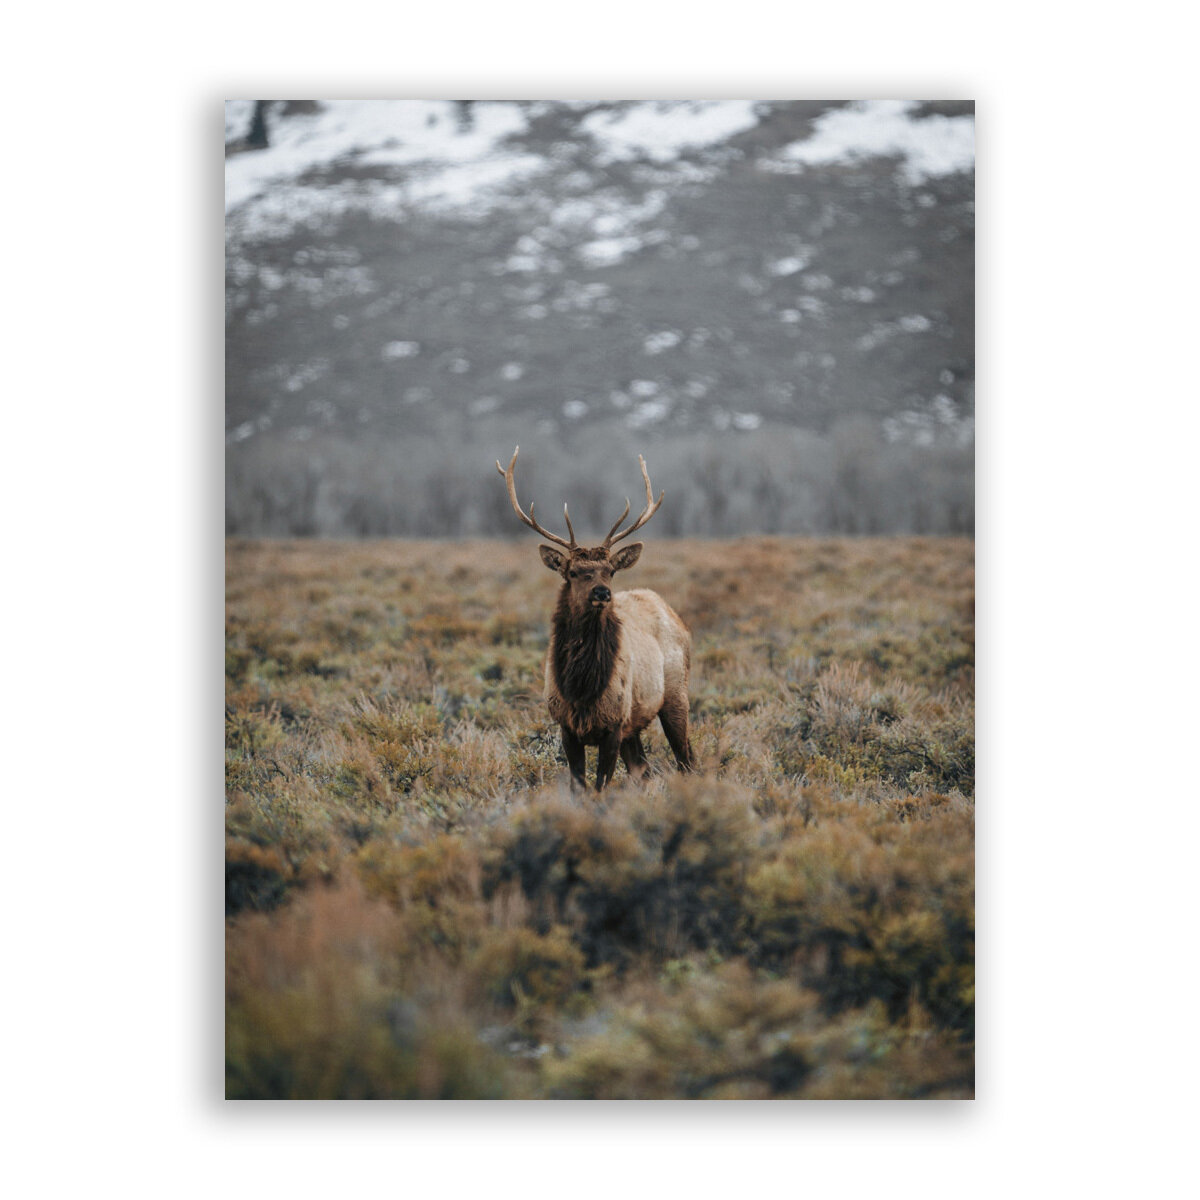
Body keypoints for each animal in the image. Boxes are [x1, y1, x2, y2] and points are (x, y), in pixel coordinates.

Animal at [496, 446, 696, 791]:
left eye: (610, 571)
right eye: (574, 572)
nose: (603, 593)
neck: (582, 689)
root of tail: (673, 614)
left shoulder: (613, 724)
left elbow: (600, 786)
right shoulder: (566, 726)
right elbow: (580, 787)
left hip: (675, 694)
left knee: (687, 759)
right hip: (636, 722)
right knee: (643, 769)